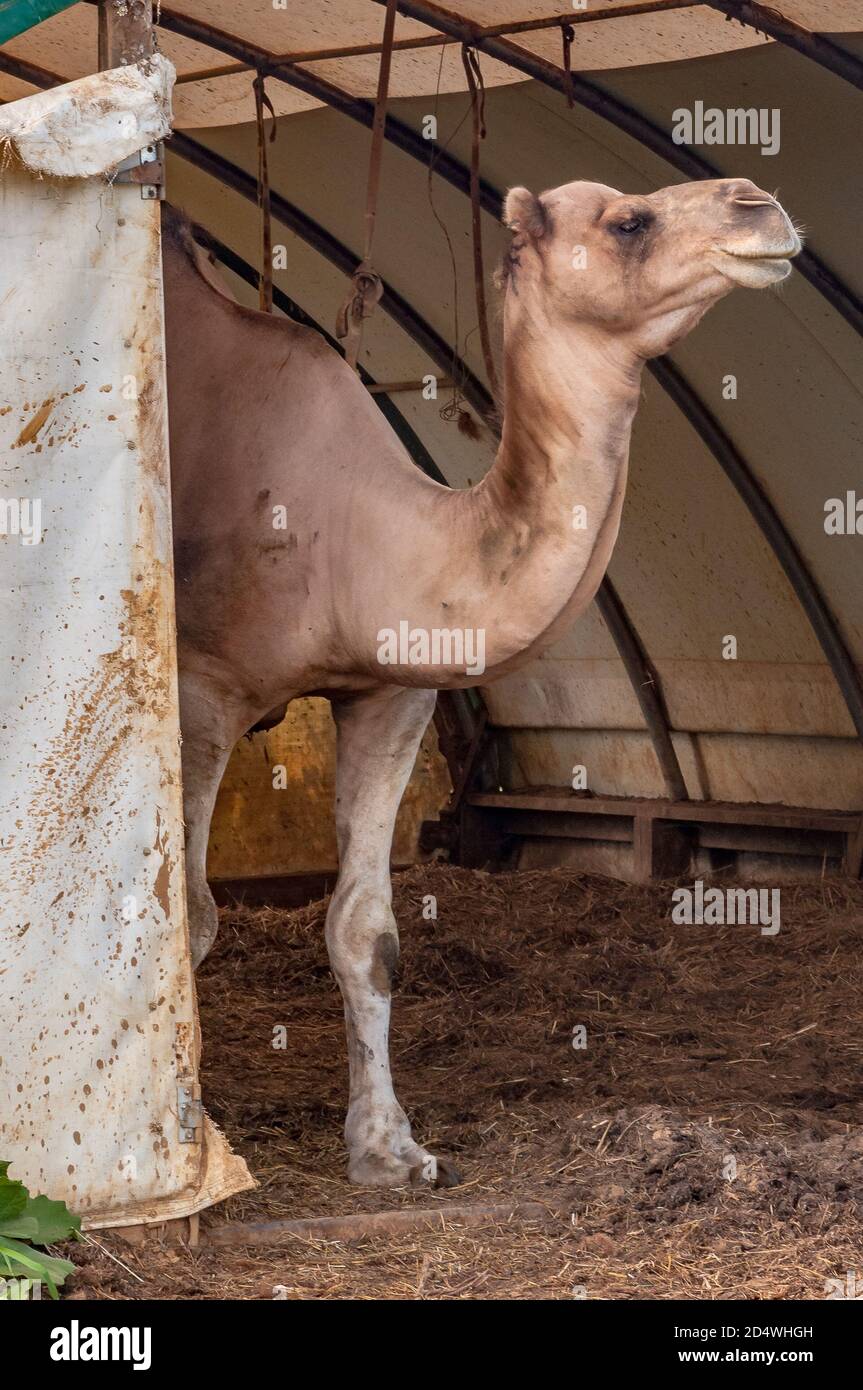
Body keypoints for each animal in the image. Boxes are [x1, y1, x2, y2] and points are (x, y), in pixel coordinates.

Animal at [163, 176, 800, 1188]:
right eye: (627, 220)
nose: (759, 205)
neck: (344, 523)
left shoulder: (390, 689)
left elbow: (366, 931)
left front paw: (391, 1151)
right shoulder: (201, 691)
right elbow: (185, 917)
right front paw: (193, 1145)